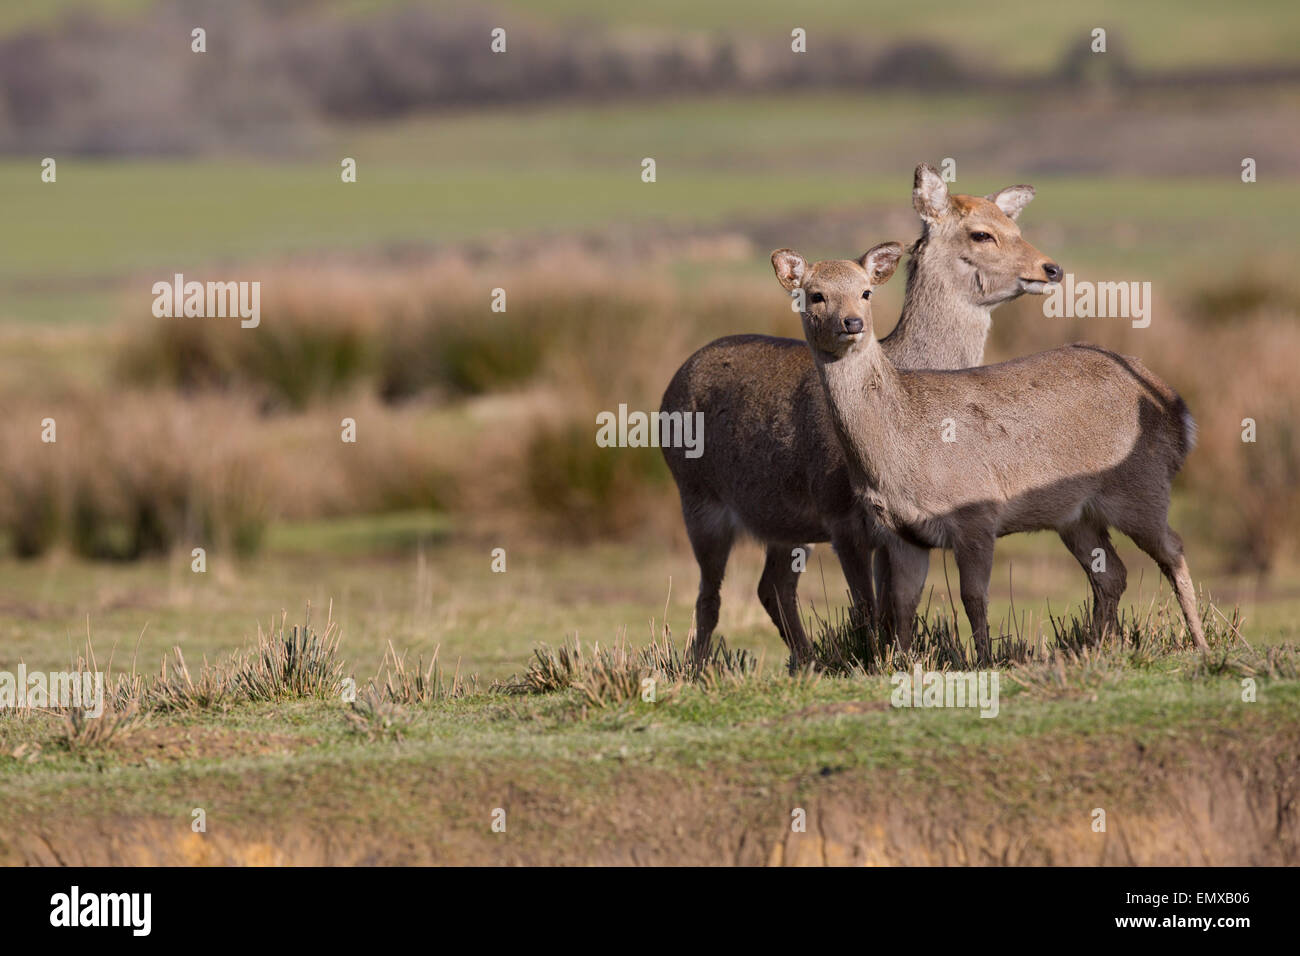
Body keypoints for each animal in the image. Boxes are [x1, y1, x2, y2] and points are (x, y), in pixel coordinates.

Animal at [660, 163, 1060, 667]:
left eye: (1016, 227)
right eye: (981, 233)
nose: (1050, 268)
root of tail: (671, 386)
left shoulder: (887, 527)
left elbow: (893, 603)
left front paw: (890, 656)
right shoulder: (840, 516)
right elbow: (866, 603)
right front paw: (869, 659)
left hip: (783, 524)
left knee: (772, 586)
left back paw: (806, 661)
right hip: (698, 499)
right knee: (709, 594)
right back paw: (698, 668)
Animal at [771, 242, 1208, 663]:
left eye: (866, 292)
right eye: (815, 295)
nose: (852, 323)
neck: (900, 455)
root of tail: (1177, 409)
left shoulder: (977, 512)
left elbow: (973, 597)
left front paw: (983, 659)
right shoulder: (902, 532)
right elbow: (902, 602)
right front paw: (899, 662)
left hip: (1142, 486)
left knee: (1173, 550)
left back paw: (1200, 644)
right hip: (1075, 515)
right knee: (1111, 573)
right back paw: (1091, 648)